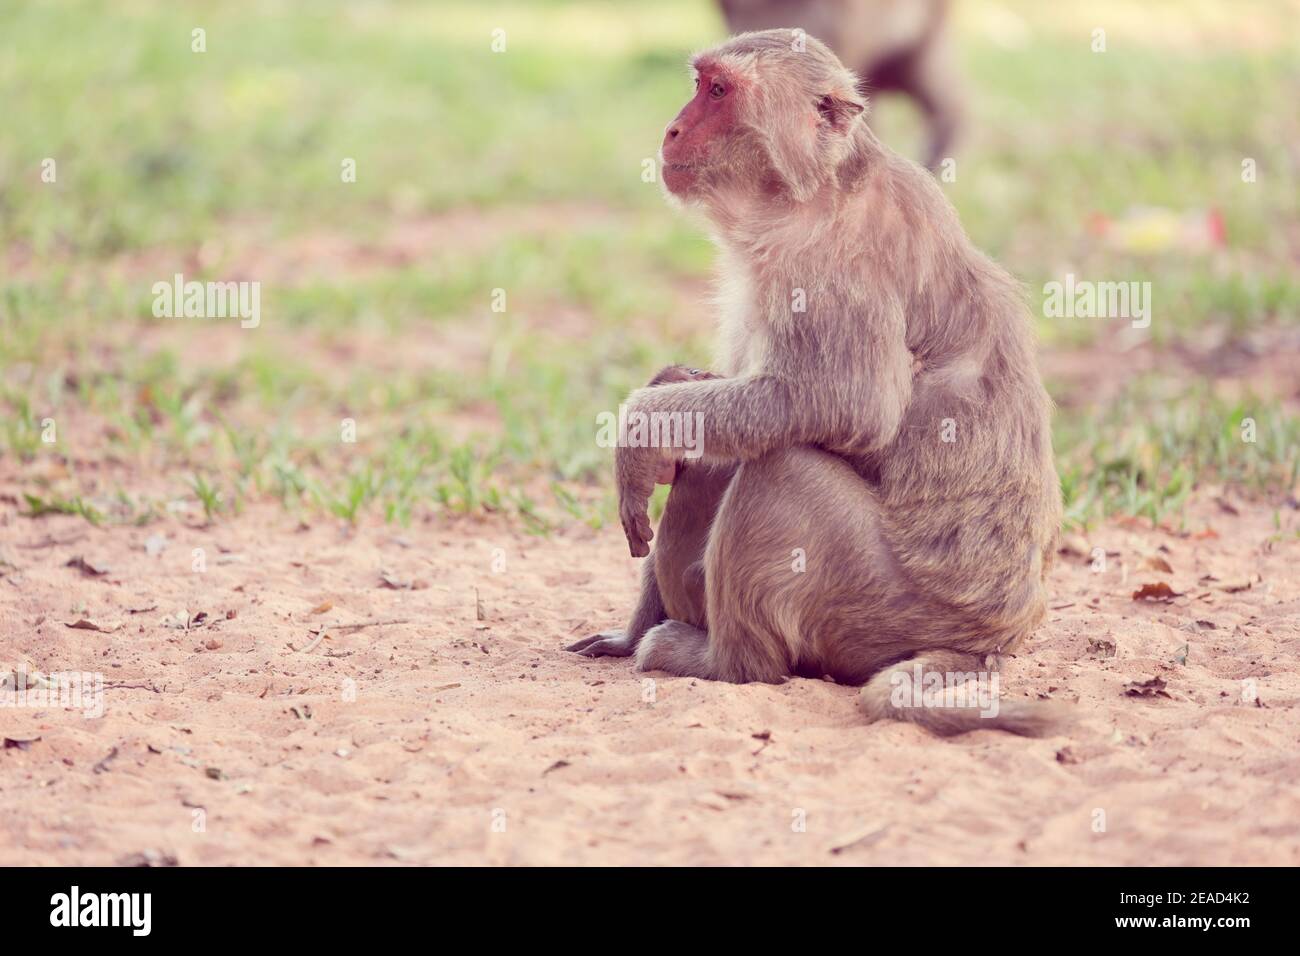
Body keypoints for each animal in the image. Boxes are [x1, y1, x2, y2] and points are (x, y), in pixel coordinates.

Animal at [567, 30, 1063, 737]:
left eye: (717, 91)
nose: (671, 128)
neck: (805, 193)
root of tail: (989, 639)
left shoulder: (834, 264)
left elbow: (845, 405)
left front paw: (641, 424)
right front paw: (668, 390)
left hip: (884, 604)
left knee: (783, 468)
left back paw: (723, 660)